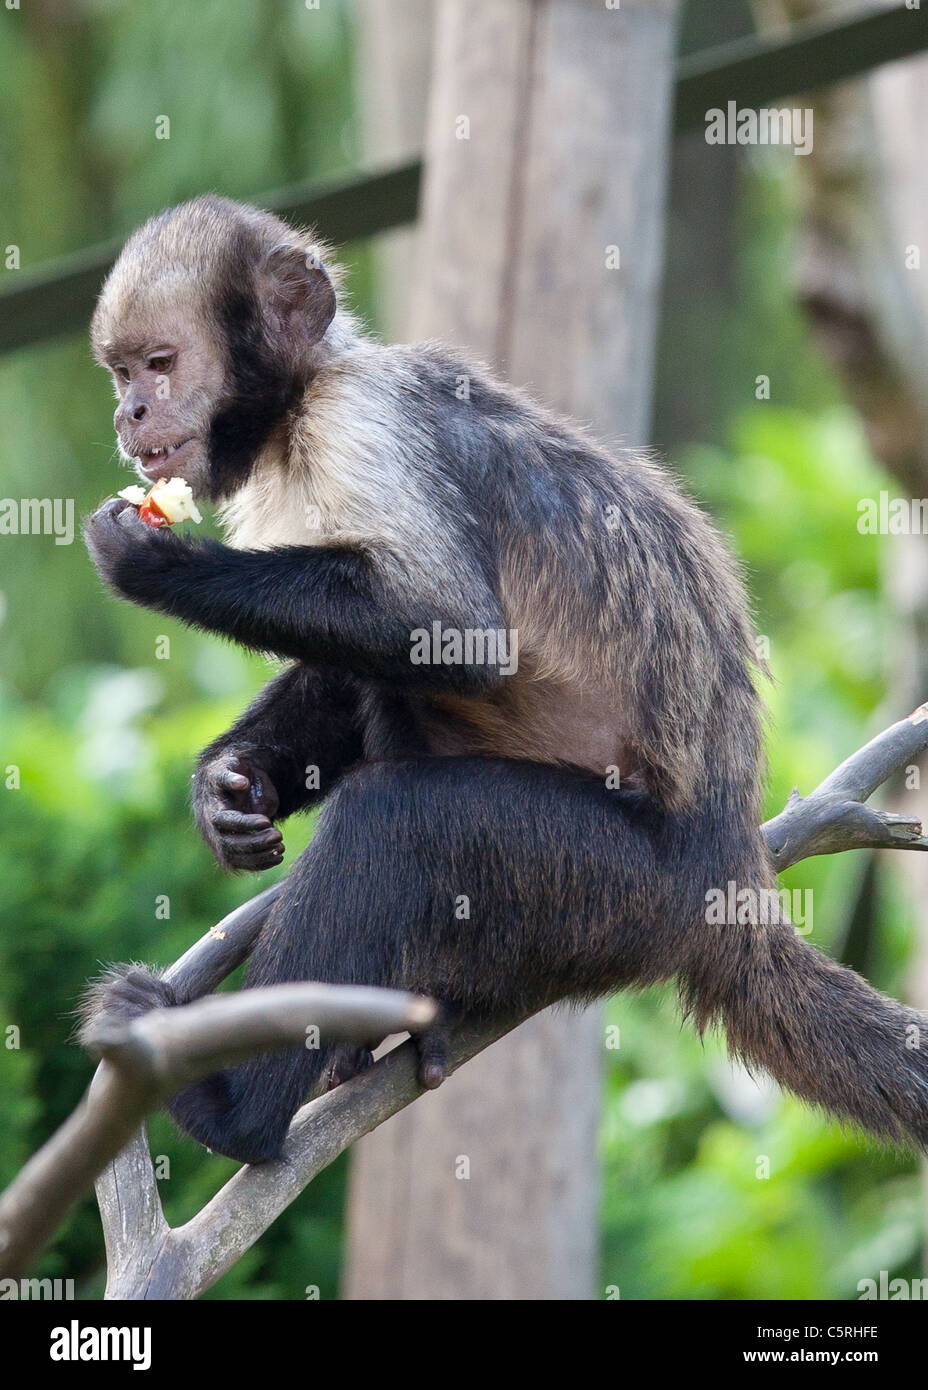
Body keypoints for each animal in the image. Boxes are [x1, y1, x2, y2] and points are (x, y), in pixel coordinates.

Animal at [79, 194, 928, 1166]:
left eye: (161, 363)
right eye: (120, 372)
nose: (130, 410)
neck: (297, 410)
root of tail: (731, 871)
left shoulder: (361, 418)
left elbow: (456, 628)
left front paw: (152, 564)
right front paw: (232, 785)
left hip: (616, 891)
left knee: (400, 820)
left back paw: (234, 1109)